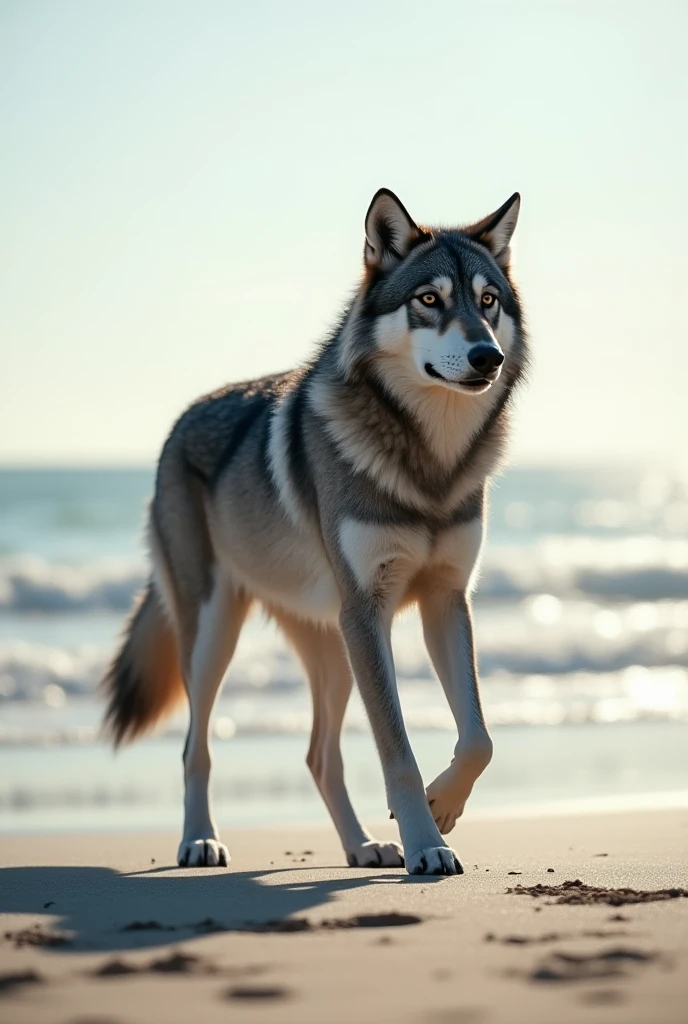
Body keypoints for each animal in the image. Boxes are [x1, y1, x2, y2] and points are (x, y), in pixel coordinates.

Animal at [103, 188, 528, 875]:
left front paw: (440, 808)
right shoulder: (369, 610)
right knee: (196, 746)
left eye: (488, 300)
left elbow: (479, 739)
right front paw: (428, 846)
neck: (428, 464)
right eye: (428, 299)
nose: (486, 355)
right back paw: (200, 841)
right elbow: (398, 753)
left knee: (319, 755)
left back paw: (362, 846)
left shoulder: (445, 601)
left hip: (336, 649)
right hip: (218, 635)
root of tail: (181, 420)